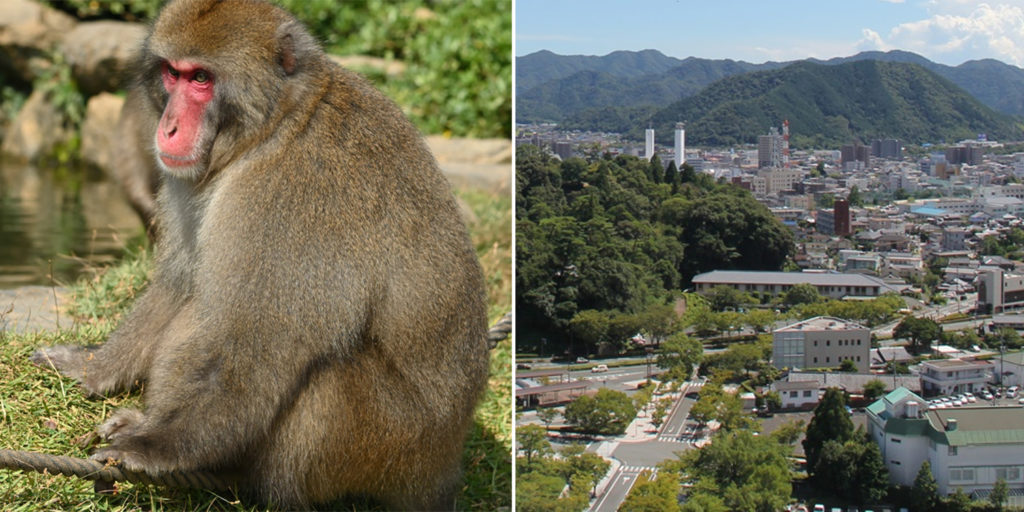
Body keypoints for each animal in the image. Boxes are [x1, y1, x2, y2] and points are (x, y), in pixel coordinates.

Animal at [31, 0, 490, 509]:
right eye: (172, 73)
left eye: (201, 79)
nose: (167, 127)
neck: (276, 125)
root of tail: (442, 466)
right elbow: (178, 285)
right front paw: (92, 367)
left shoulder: (290, 193)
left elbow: (258, 341)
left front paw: (158, 445)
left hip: (387, 443)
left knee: (317, 377)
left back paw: (229, 469)